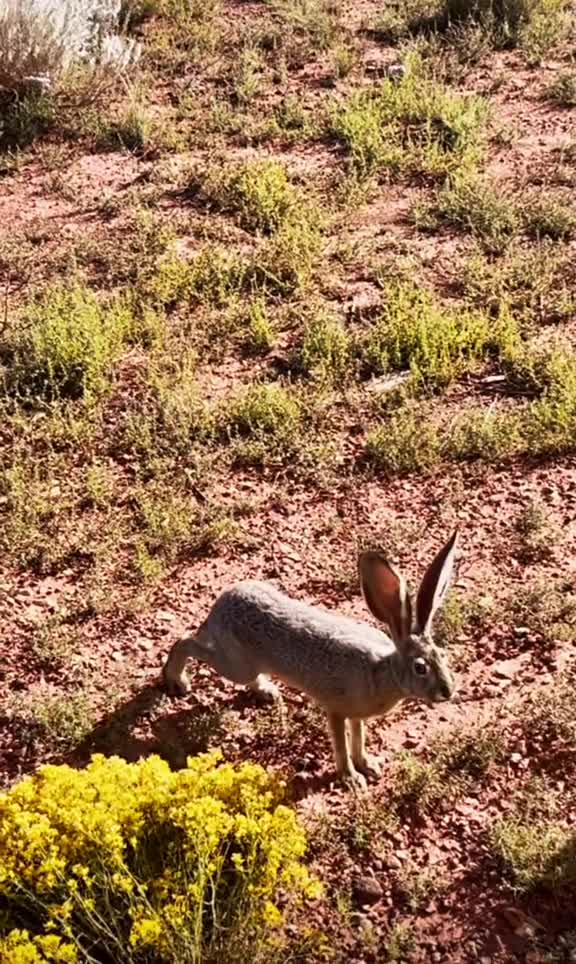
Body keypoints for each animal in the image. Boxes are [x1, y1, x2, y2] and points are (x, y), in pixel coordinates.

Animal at [162, 530, 459, 788]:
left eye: (443, 655)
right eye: (420, 667)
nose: (448, 691)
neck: (383, 670)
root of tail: (219, 607)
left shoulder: (357, 715)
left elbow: (358, 739)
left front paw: (369, 765)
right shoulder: (337, 709)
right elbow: (341, 745)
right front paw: (351, 779)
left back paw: (267, 692)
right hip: (235, 665)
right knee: (186, 643)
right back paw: (176, 681)